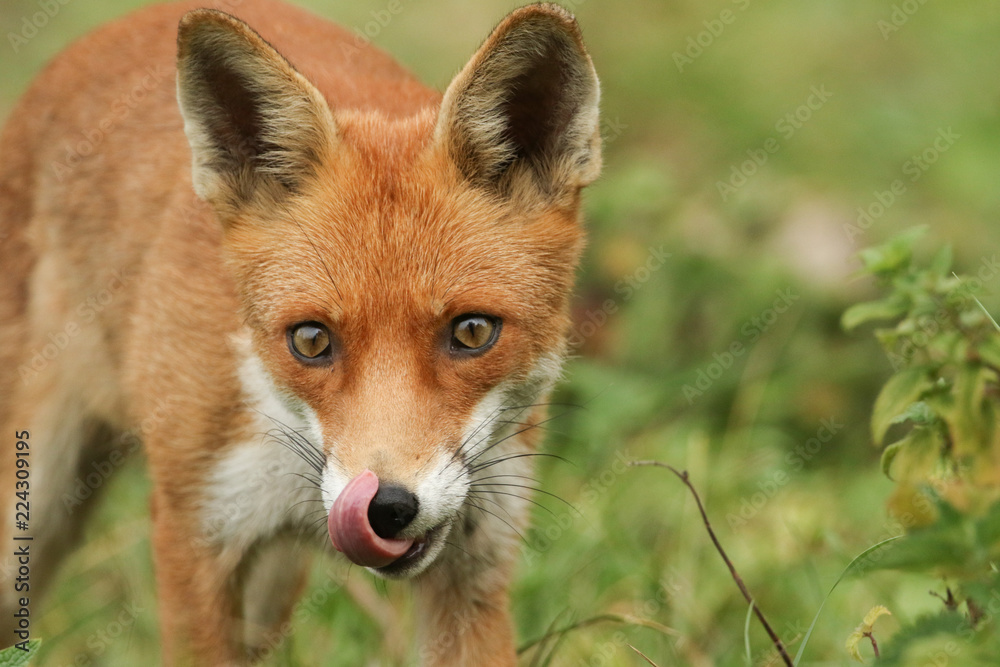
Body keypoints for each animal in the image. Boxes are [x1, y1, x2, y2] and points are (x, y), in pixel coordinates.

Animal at [0, 0, 601, 664]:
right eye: (311, 341)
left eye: (472, 332)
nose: (385, 507)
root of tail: (128, 21)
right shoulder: (194, 535)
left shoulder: (476, 564)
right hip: (31, 509)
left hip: (270, 592)